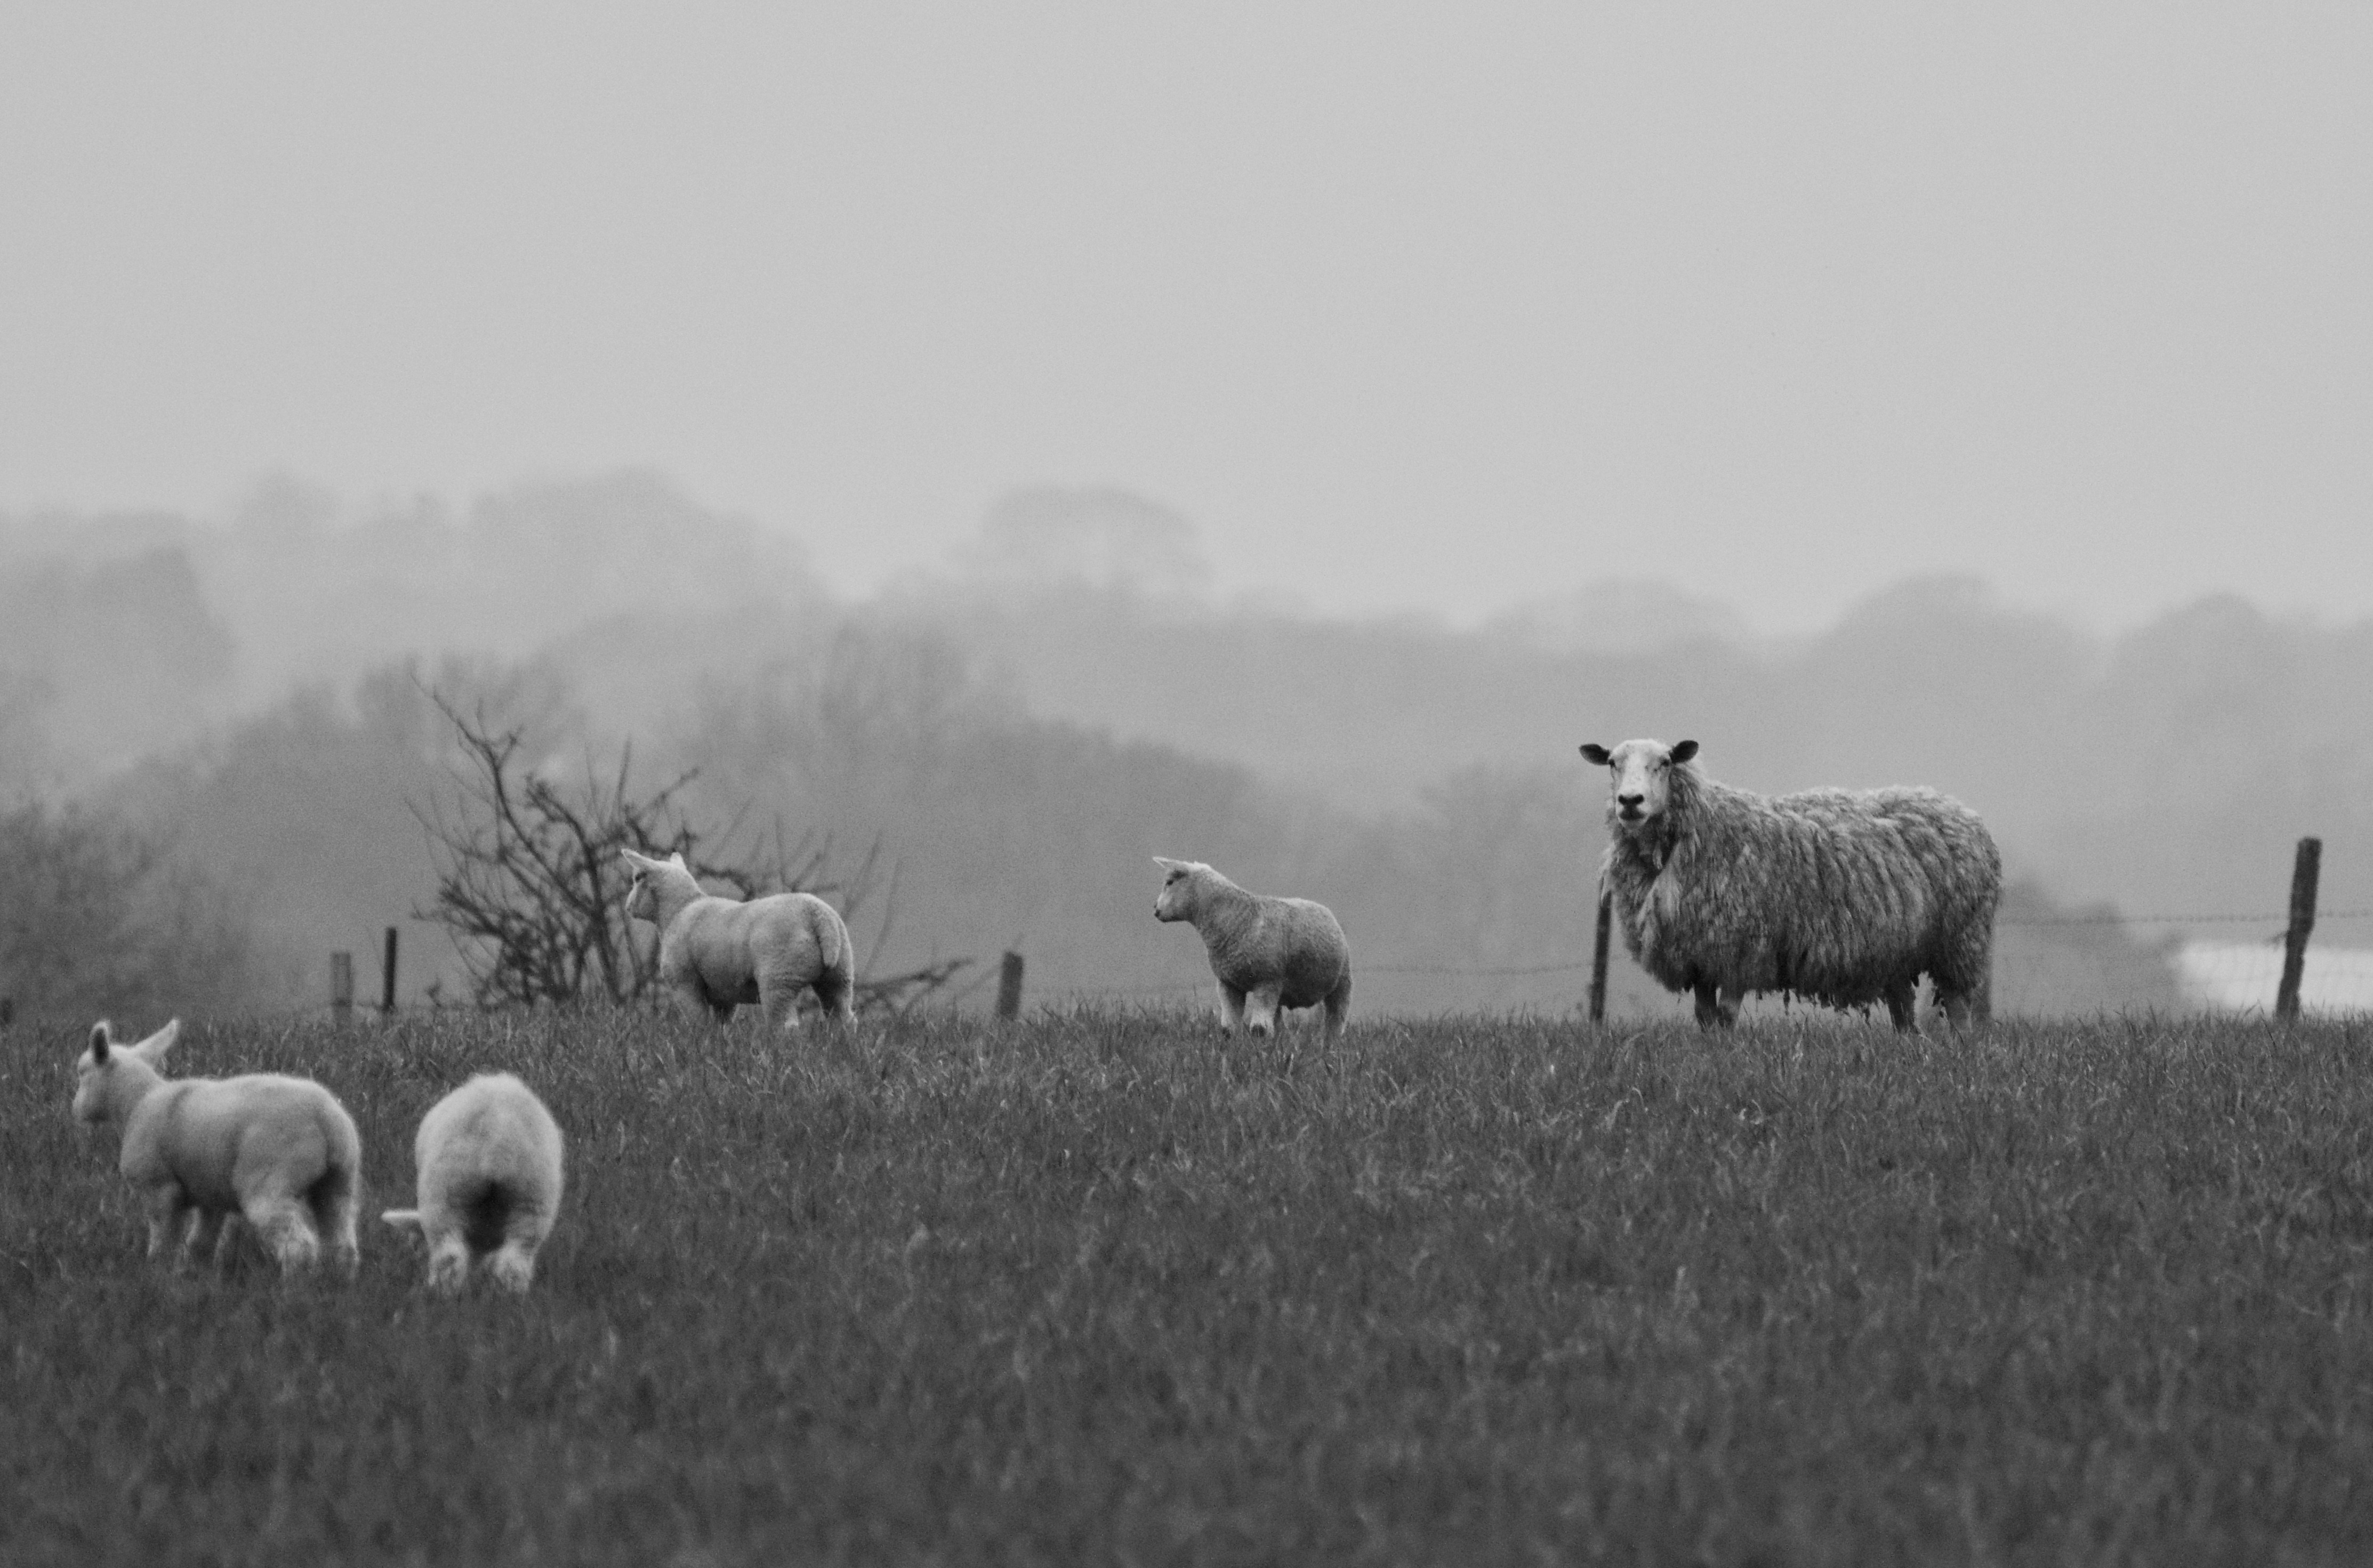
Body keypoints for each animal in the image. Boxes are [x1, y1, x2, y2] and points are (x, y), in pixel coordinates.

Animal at [70, 1018, 362, 1277]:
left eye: (83, 1073)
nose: (76, 1108)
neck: (137, 1102)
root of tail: (326, 1118)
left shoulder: (159, 1188)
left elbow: (164, 1239)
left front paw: (157, 1273)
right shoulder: (210, 1193)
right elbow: (201, 1242)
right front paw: (194, 1275)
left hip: (270, 1176)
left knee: (298, 1247)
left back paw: (292, 1288)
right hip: (339, 1181)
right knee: (343, 1243)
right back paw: (338, 1284)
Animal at [381, 1072, 565, 1293]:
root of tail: (499, 1138)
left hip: (447, 1189)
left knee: (450, 1256)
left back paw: (441, 1293)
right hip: (532, 1198)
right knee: (515, 1261)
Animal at [622, 848, 857, 1030]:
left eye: (637, 878)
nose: (628, 907)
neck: (679, 909)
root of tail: (817, 914)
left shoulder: (685, 983)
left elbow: (698, 1021)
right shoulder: (723, 992)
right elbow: (722, 1024)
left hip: (779, 977)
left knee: (786, 1025)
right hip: (839, 975)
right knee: (844, 1018)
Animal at [1152, 857, 1352, 1041]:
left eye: (1170, 882)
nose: (1155, 910)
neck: (1233, 919)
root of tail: (1319, 906)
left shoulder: (1267, 980)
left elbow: (1259, 1029)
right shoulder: (1228, 983)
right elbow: (1229, 1029)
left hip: (1342, 981)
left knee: (1337, 1017)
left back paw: (1332, 1041)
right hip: (1280, 989)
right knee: (1277, 1019)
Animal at [1578, 738, 2000, 1031]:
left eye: (1665, 763)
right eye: (1612, 763)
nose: (1630, 801)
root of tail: (1961, 810)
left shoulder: (1742, 950)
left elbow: (1726, 1017)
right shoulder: (1701, 956)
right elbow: (1705, 1017)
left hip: (1958, 944)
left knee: (1959, 1012)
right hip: (1897, 951)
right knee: (1904, 1016)